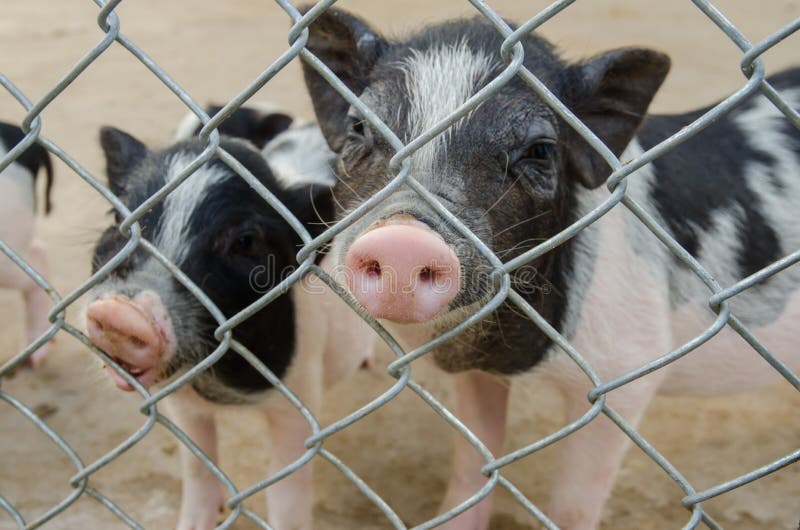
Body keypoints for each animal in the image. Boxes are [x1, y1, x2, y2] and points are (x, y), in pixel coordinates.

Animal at [84, 104, 374, 530]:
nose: (122, 313)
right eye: (120, 220)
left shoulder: (301, 395)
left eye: (245, 242)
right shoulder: (183, 406)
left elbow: (286, 491)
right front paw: (193, 524)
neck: (218, 383)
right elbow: (196, 465)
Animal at [300, 7, 800, 530]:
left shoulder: (627, 367)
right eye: (359, 127)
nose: (403, 237)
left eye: (539, 150)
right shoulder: (477, 372)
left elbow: (574, 504)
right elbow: (473, 461)